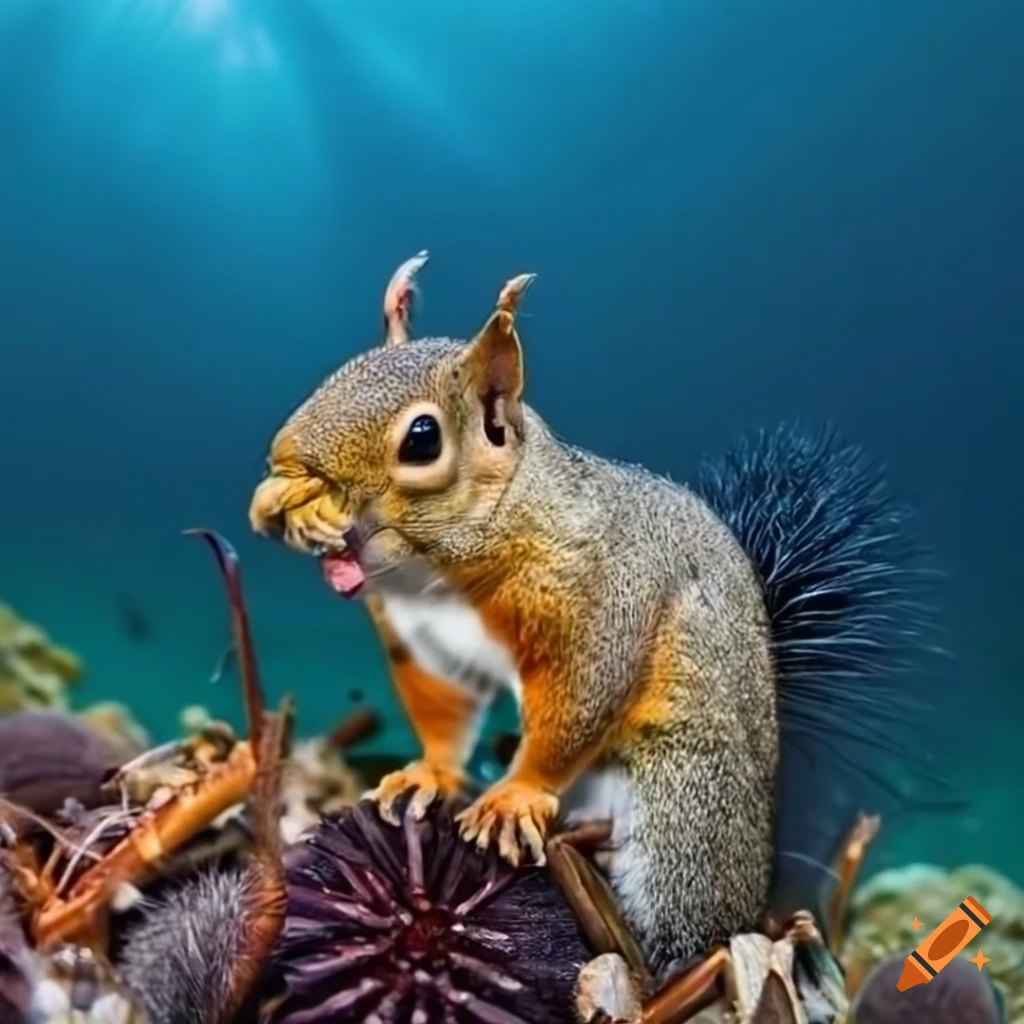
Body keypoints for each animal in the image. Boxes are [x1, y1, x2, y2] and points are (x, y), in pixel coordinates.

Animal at [248, 252, 934, 975]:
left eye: (422, 439)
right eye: (339, 373)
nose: (280, 475)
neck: (439, 574)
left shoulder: (602, 604)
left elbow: (576, 701)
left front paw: (516, 793)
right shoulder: (430, 647)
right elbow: (443, 713)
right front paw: (427, 776)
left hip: (682, 816)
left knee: (687, 916)